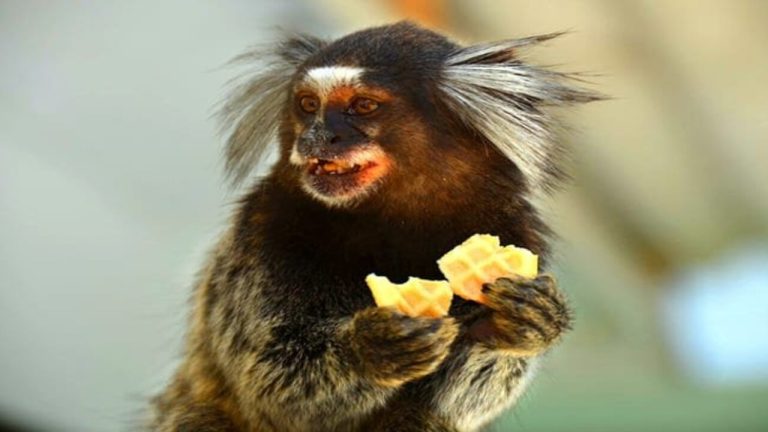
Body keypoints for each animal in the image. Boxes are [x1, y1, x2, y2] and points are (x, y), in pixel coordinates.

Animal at [149, 21, 600, 432]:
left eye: (363, 106)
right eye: (307, 104)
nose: (316, 137)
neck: (393, 221)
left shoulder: (517, 230)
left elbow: (457, 400)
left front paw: (526, 325)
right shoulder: (261, 231)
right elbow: (272, 381)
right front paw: (371, 349)